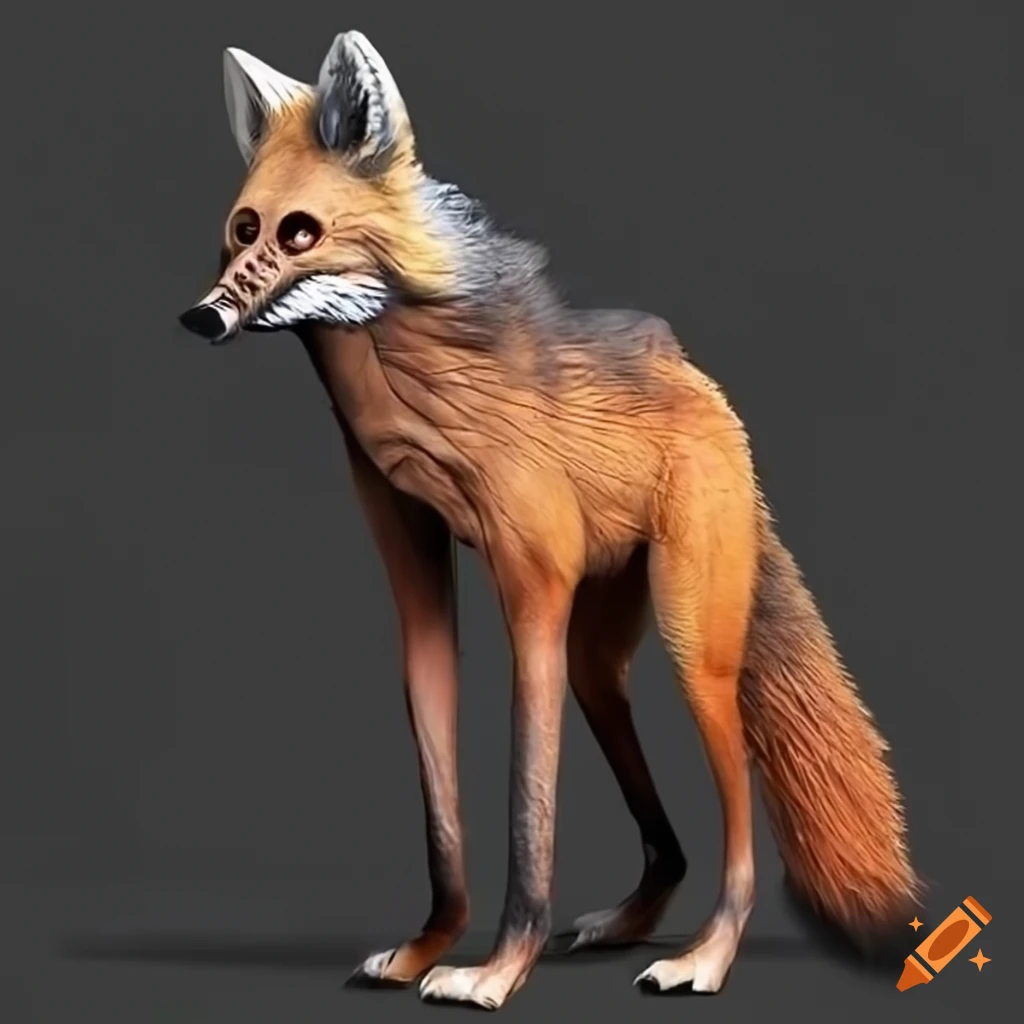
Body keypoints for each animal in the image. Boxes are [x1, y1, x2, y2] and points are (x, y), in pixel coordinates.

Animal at [179, 31, 921, 1010]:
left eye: (299, 232)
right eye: (243, 228)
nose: (200, 315)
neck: (416, 391)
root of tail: (703, 387)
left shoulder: (537, 587)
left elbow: (529, 813)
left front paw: (496, 971)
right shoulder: (419, 577)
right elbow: (444, 813)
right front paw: (429, 948)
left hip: (693, 653)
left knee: (739, 833)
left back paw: (704, 958)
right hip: (597, 664)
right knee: (668, 842)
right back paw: (631, 919)